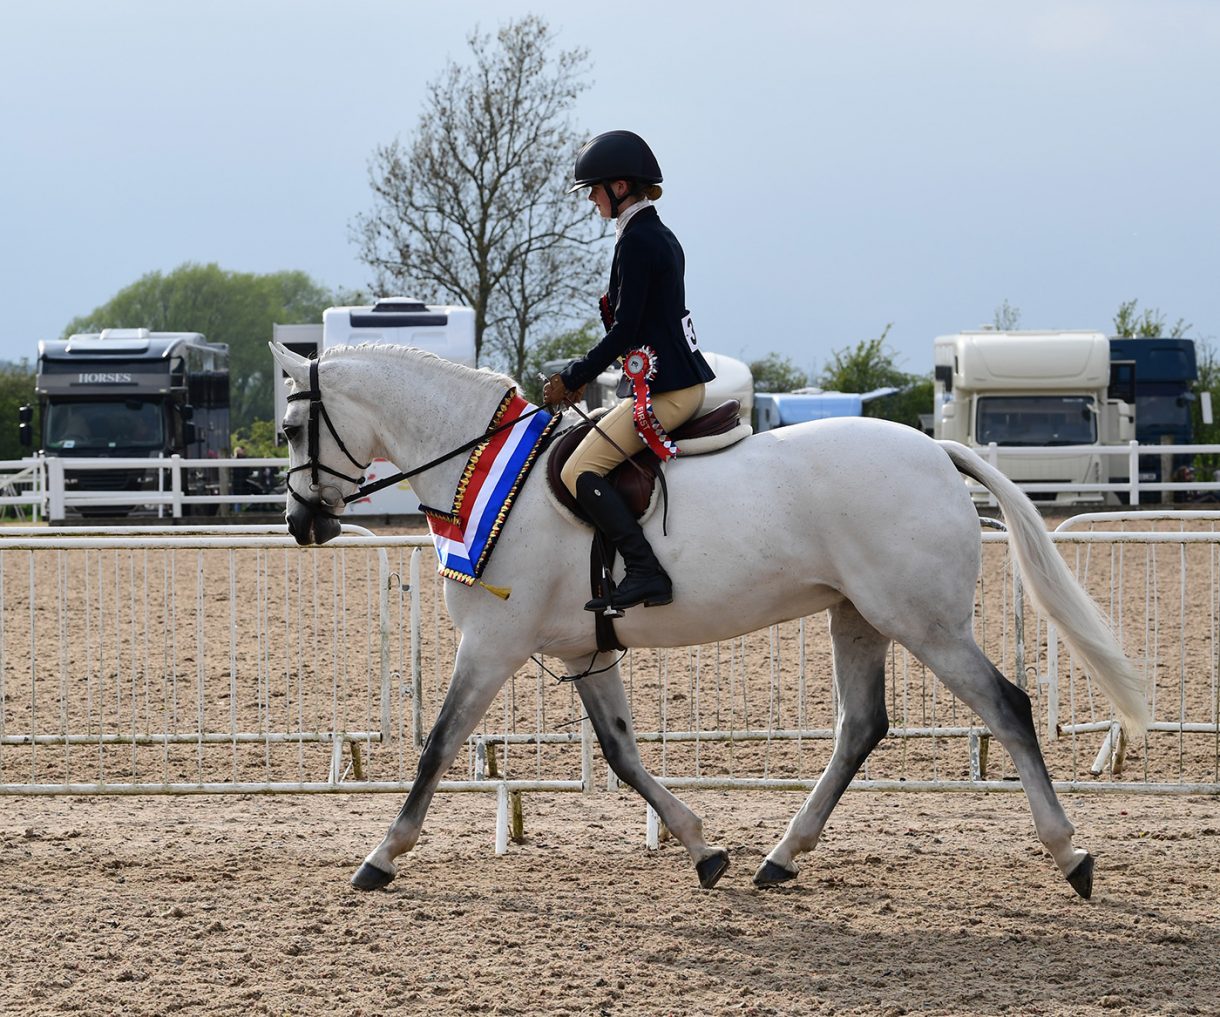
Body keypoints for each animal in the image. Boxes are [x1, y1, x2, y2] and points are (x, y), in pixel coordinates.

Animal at [270, 341, 1149, 899]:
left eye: (290, 428)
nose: (302, 524)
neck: (485, 474)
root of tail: (937, 451)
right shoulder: (584, 651)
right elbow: (623, 755)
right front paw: (704, 848)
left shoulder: (491, 645)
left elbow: (437, 747)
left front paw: (382, 856)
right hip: (859, 617)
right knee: (861, 726)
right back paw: (780, 857)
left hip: (926, 623)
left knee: (1007, 705)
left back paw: (1070, 854)